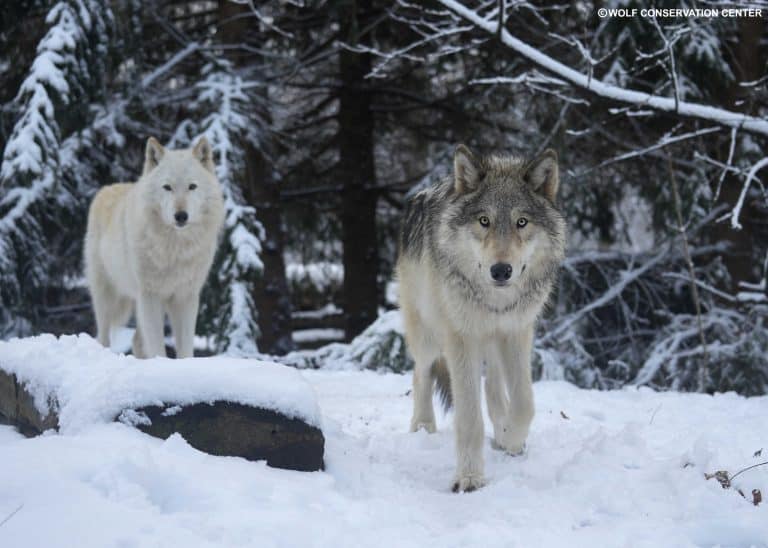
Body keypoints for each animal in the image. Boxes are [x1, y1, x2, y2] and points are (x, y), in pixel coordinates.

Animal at [84, 137, 225, 359]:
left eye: (192, 186)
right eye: (167, 187)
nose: (181, 216)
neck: (174, 248)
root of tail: (107, 188)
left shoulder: (186, 297)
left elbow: (185, 348)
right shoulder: (150, 295)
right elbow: (157, 345)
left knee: (136, 340)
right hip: (106, 296)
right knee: (103, 336)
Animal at [397, 144, 566, 492]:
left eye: (521, 221)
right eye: (484, 220)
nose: (501, 270)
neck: (496, 302)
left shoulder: (517, 331)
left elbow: (524, 403)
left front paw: (510, 437)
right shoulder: (461, 338)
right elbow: (469, 417)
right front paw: (470, 477)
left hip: (493, 339)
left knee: (493, 386)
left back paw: (500, 432)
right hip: (429, 334)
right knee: (421, 372)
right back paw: (423, 426)